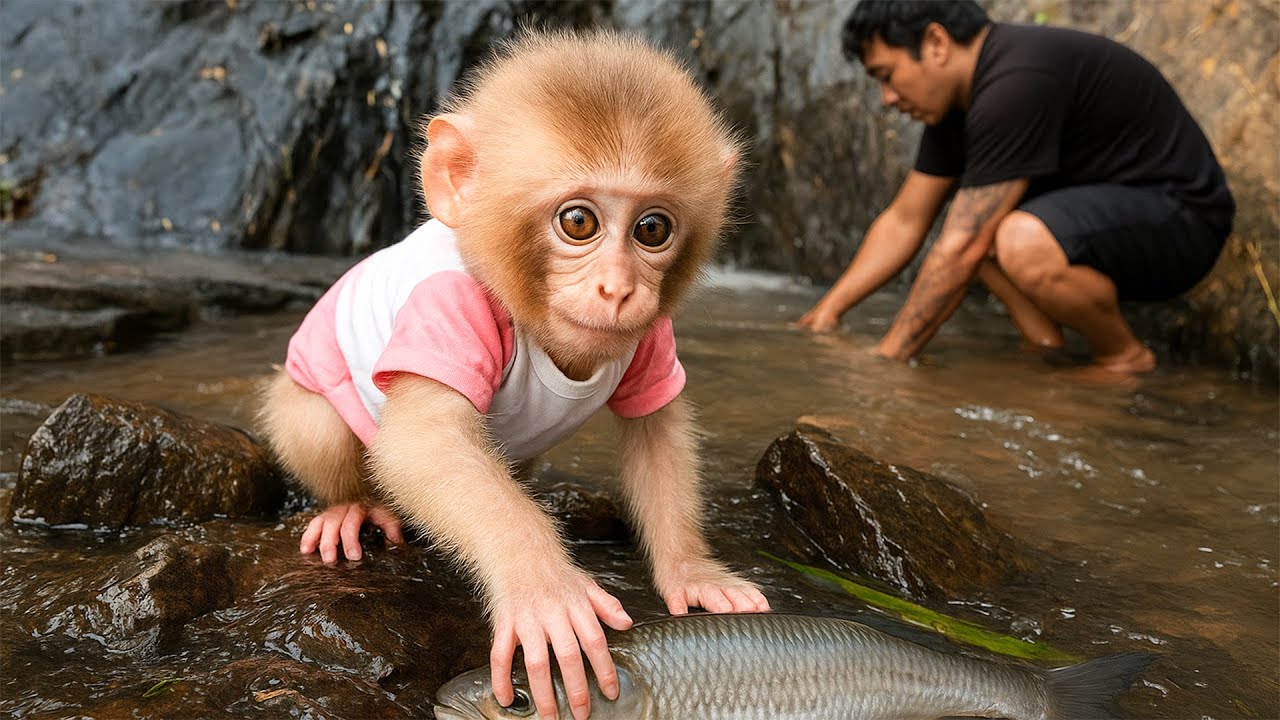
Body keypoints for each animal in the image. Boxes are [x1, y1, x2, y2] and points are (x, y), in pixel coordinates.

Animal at [258, 29, 770, 720]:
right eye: (578, 222)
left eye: (652, 229)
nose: (617, 290)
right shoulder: (449, 305)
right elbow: (426, 442)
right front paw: (543, 581)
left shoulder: (652, 335)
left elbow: (656, 428)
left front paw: (692, 571)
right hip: (307, 392)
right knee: (318, 424)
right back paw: (350, 508)